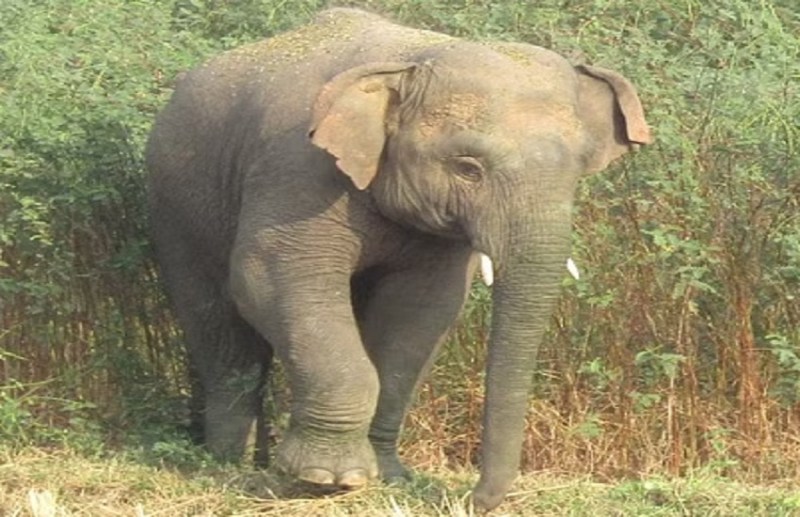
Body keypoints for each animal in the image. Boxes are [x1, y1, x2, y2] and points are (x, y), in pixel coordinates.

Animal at [146, 8, 650, 510]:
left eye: (578, 169)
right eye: (468, 168)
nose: (471, 500)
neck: (411, 61)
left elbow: (419, 312)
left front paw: (388, 478)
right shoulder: (296, 167)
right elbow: (269, 277)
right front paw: (327, 479)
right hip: (177, 206)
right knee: (220, 328)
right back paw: (232, 462)